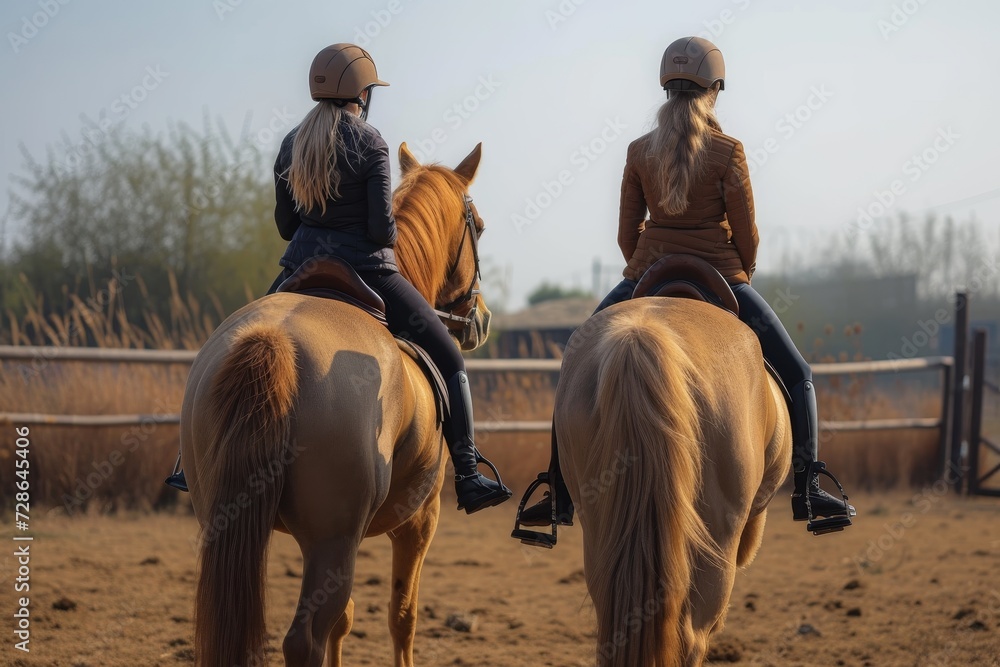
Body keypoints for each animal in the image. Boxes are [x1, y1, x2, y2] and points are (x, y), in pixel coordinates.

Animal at [179, 142, 489, 667]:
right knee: (305, 639)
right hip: (332, 542)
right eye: (480, 227)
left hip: (231, 523)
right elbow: (401, 616)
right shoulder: (418, 522)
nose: (481, 320)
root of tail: (272, 341)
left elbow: (345, 622)